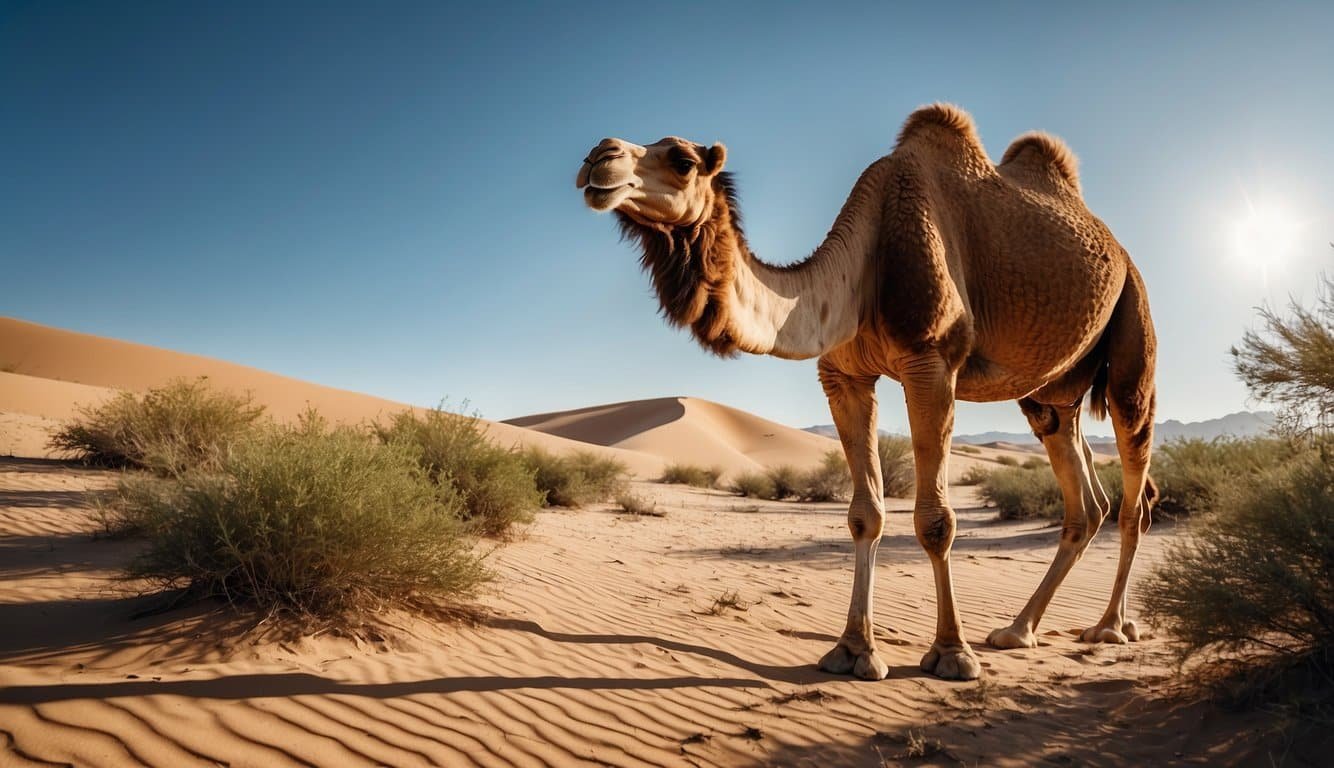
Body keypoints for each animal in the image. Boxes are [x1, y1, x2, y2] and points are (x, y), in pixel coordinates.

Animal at [574, 104, 1158, 681]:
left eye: (682, 160)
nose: (597, 156)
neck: (866, 263)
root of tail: (1121, 251)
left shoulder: (931, 361)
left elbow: (936, 519)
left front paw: (951, 653)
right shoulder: (844, 375)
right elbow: (864, 514)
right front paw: (853, 650)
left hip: (1134, 331)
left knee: (1134, 492)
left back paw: (1109, 627)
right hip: (1050, 395)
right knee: (1086, 499)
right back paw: (1019, 630)